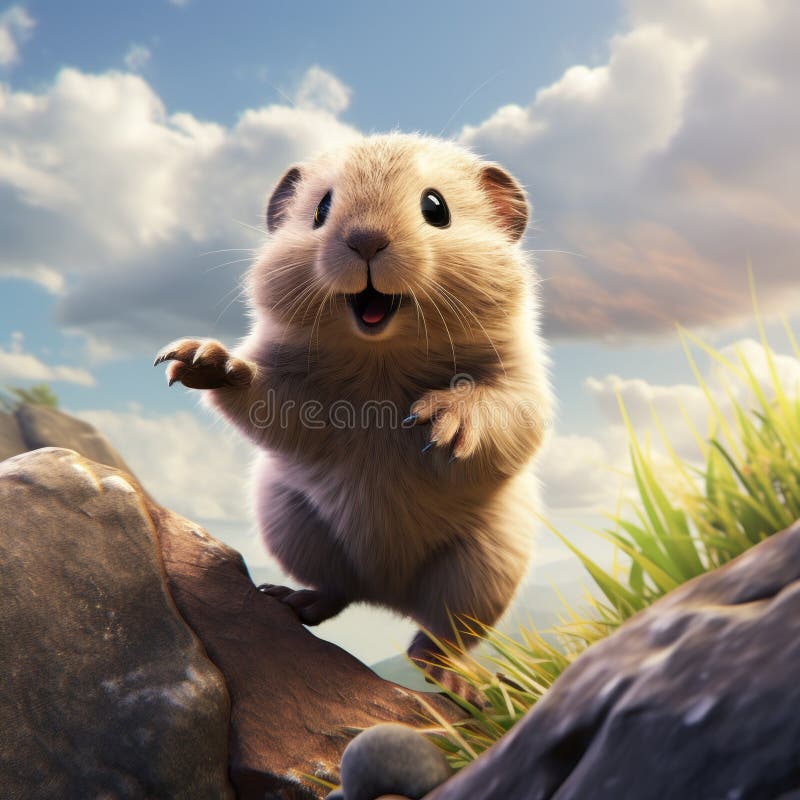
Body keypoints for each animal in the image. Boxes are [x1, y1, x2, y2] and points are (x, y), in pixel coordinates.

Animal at [156, 132, 552, 695]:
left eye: (437, 208)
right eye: (320, 209)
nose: (366, 240)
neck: (380, 353)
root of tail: (386, 593)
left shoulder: (521, 382)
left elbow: (500, 409)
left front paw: (436, 421)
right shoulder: (290, 391)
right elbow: (258, 391)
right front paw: (194, 360)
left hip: (480, 572)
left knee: (433, 644)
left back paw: (470, 686)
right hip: (296, 527)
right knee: (336, 593)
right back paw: (289, 599)